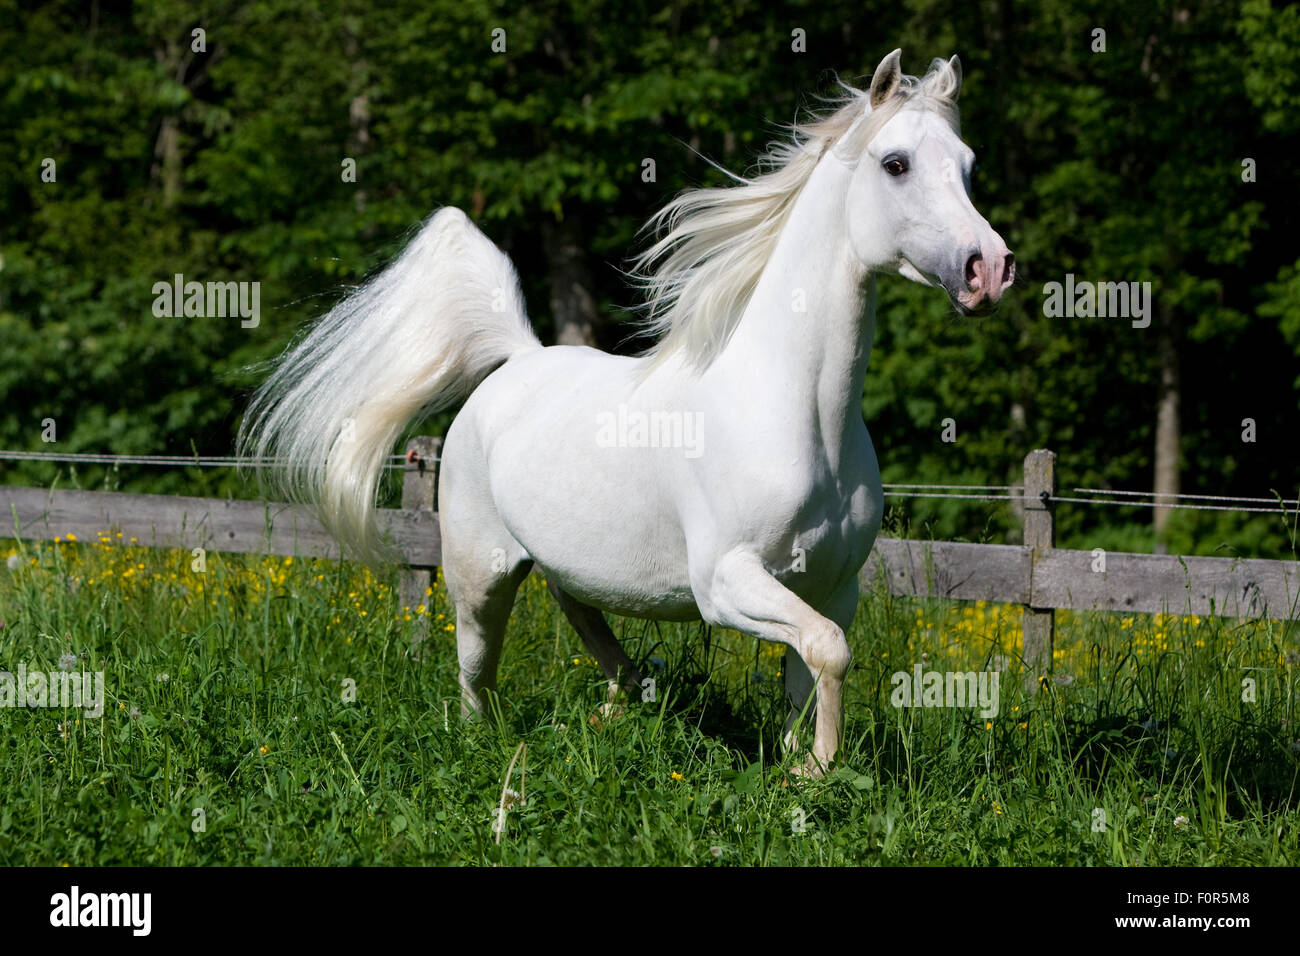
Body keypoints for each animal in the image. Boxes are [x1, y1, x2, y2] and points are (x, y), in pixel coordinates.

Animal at [238, 50, 1014, 777]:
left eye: (971, 166)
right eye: (895, 163)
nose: (989, 269)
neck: (803, 419)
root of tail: (516, 359)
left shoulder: (834, 585)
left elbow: (815, 667)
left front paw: (800, 768)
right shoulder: (725, 583)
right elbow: (830, 649)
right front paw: (815, 772)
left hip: (562, 562)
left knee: (582, 615)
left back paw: (619, 704)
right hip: (479, 575)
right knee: (474, 671)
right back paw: (493, 745)